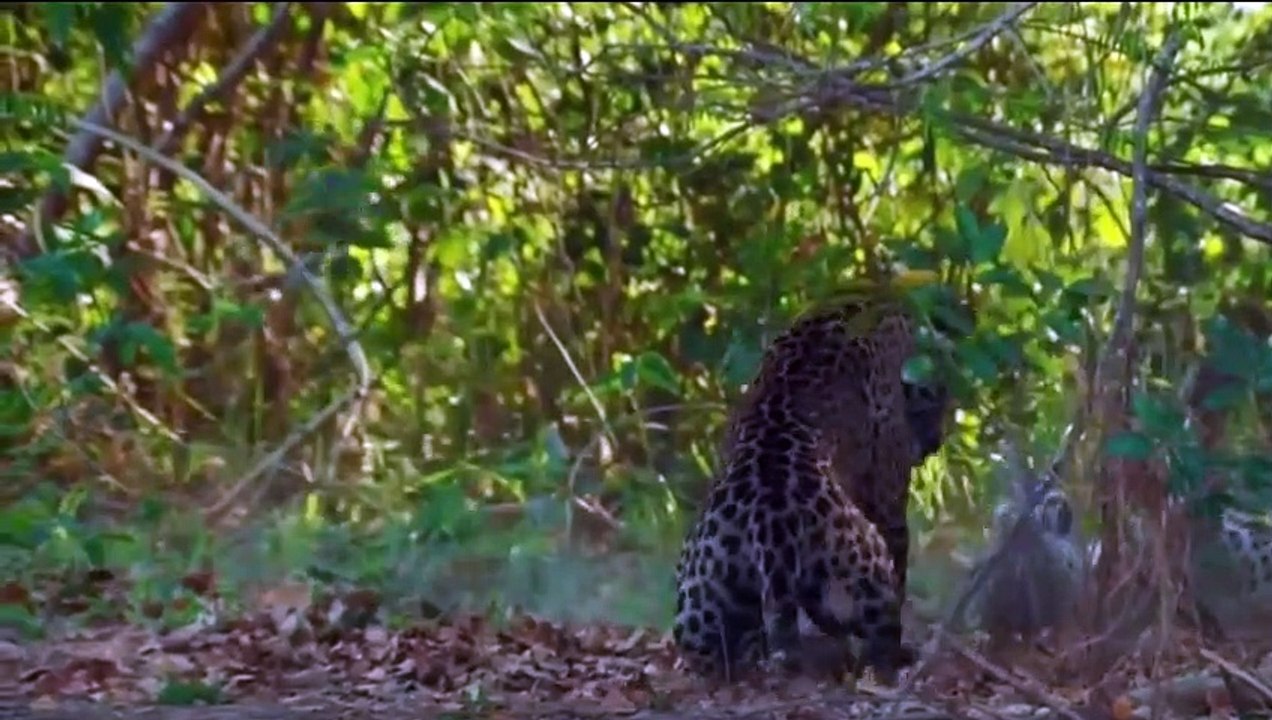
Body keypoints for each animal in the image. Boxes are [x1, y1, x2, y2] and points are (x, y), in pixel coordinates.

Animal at [672, 281, 959, 683]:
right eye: (938, 403)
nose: (936, 442)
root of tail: (769, 524)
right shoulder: (888, 499)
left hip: (698, 597)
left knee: (711, 653)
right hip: (868, 559)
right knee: (880, 639)